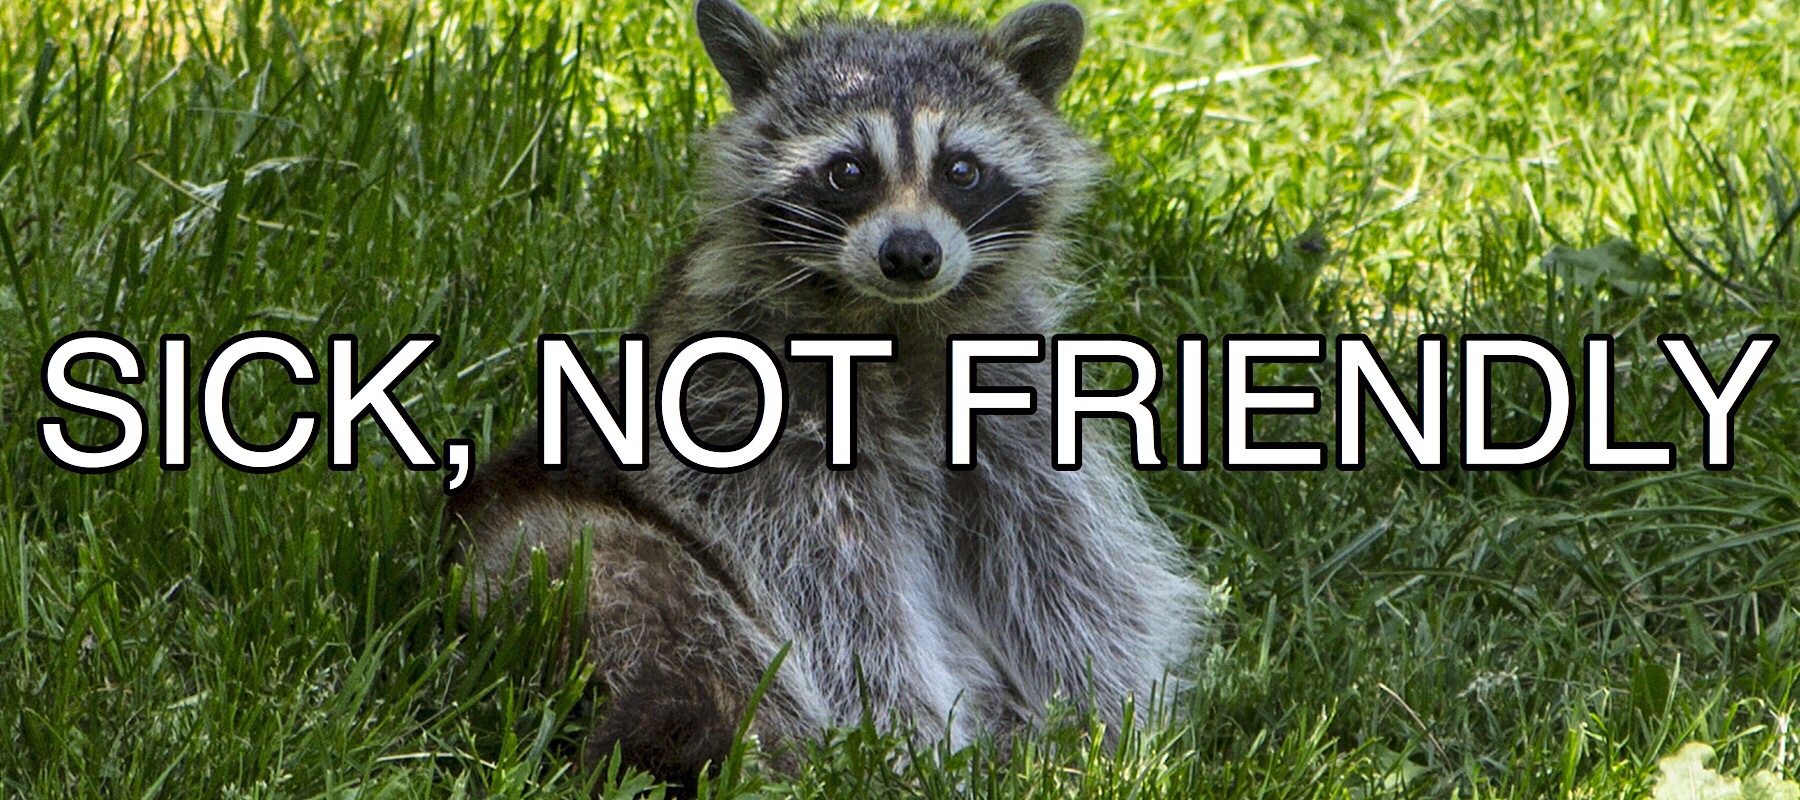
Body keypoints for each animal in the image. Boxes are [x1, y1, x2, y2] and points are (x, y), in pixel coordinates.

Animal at [447, 0, 1206, 783]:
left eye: (961, 169)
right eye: (848, 172)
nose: (912, 254)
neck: (891, 322)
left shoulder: (1012, 397)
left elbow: (1064, 565)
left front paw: (1104, 723)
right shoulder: (751, 415)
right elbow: (831, 597)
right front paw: (906, 744)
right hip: (542, 551)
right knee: (670, 613)